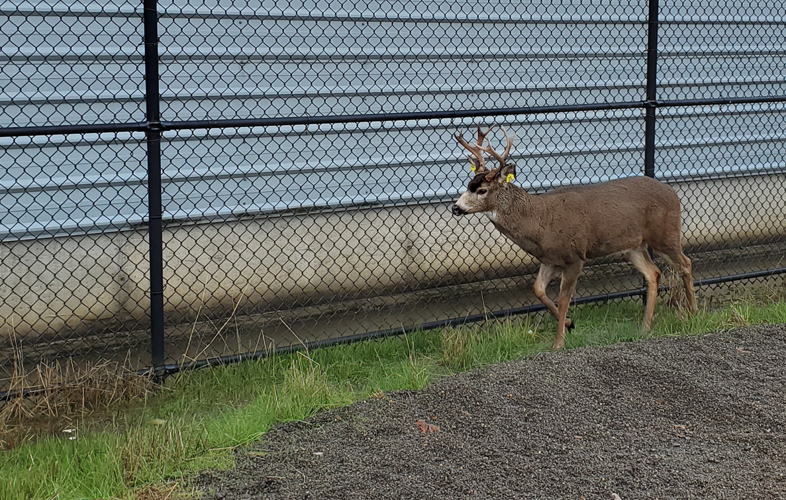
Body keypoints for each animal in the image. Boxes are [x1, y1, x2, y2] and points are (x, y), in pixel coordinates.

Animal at [451, 125, 697, 349]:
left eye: (481, 190)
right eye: (468, 184)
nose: (456, 207)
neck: (539, 221)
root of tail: (672, 192)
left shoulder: (575, 256)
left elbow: (563, 299)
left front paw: (559, 342)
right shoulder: (550, 259)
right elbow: (538, 289)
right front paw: (570, 324)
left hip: (665, 233)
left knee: (685, 263)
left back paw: (693, 312)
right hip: (633, 246)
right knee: (653, 273)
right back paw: (646, 326)